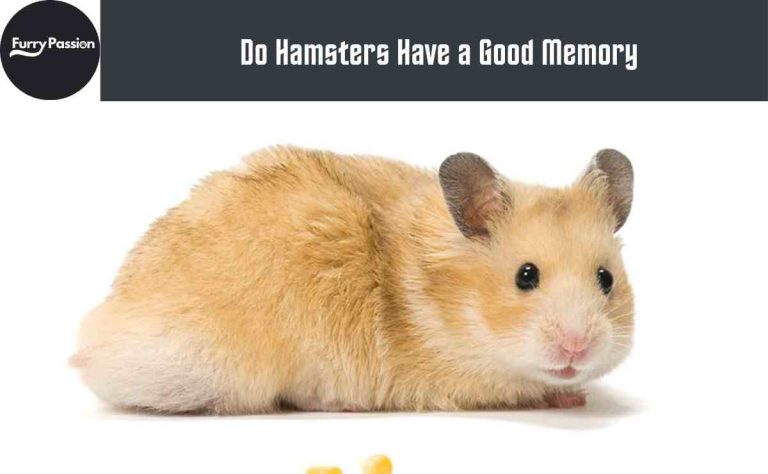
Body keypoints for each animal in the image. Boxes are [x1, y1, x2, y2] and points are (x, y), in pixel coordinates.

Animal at [72, 146, 635, 414]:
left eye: (606, 278)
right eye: (525, 276)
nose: (577, 348)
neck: (454, 305)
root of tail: (99, 345)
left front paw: (575, 396)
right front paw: (564, 397)